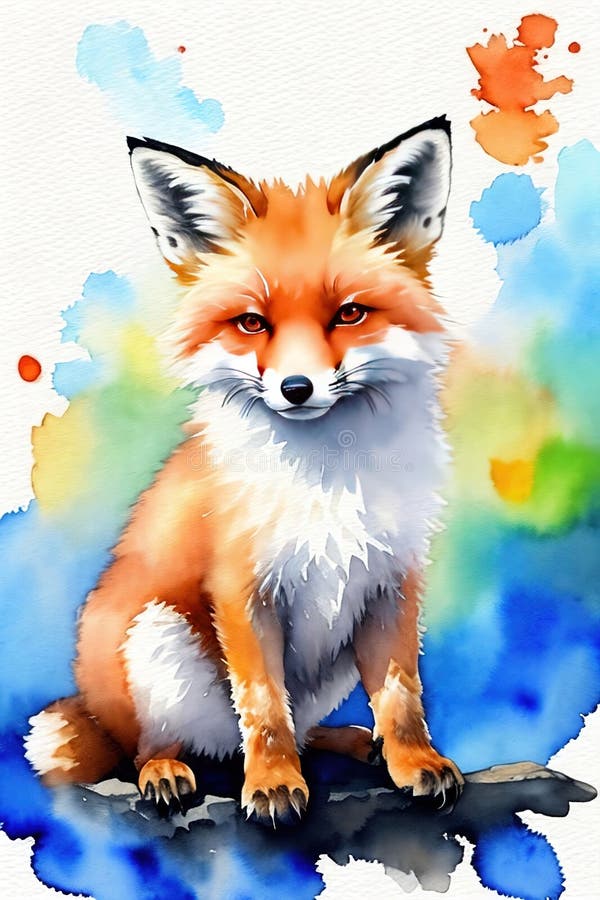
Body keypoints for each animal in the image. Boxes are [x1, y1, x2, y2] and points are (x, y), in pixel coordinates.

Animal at [25, 116, 464, 823]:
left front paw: (413, 762)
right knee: (156, 745)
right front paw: (275, 783)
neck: (329, 482)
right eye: (253, 323)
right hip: (153, 637)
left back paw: (347, 741)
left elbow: (401, 696)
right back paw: (168, 771)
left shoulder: (390, 583)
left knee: (303, 726)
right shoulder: (242, 588)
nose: (296, 388)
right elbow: (262, 707)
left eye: (349, 313)